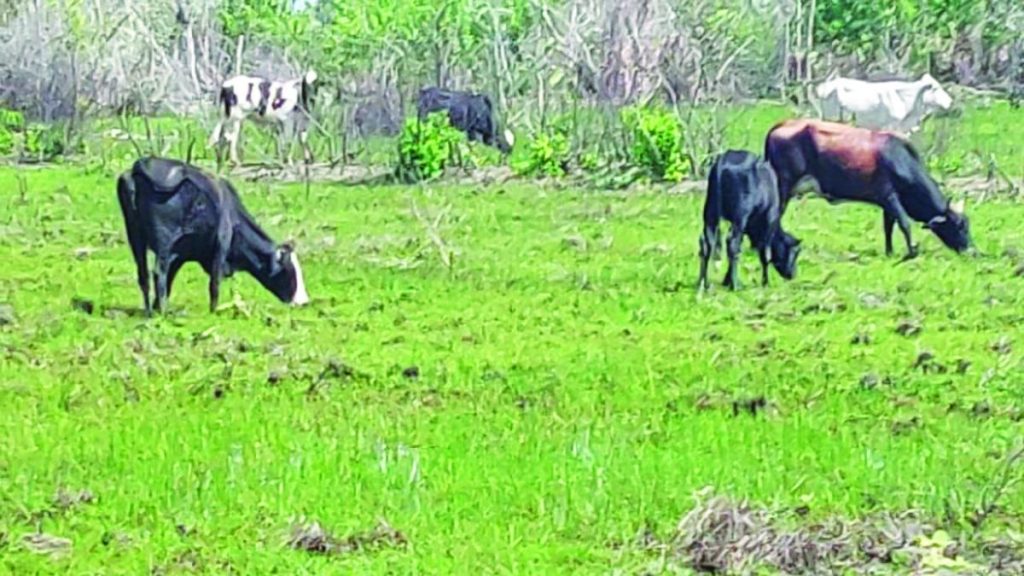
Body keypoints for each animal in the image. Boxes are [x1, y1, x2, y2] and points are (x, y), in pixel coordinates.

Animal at [116, 156, 310, 315]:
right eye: (289, 270)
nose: (303, 302)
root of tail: (140, 165)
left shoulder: (179, 254)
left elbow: (171, 278)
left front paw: (157, 305)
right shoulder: (221, 243)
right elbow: (214, 282)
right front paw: (214, 311)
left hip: (134, 236)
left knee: (144, 274)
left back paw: (149, 310)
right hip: (164, 239)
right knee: (158, 272)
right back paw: (163, 312)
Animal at [699, 150, 802, 291]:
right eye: (795, 252)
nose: (793, 274)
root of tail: (723, 163)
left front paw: (726, 280)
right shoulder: (769, 219)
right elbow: (765, 254)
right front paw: (765, 283)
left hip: (710, 213)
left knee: (707, 244)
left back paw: (704, 283)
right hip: (739, 215)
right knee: (732, 243)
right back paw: (735, 285)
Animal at [765, 119, 971, 259]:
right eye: (959, 226)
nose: (972, 251)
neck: (900, 159)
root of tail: (781, 124)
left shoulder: (886, 203)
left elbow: (888, 227)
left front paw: (890, 252)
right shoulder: (889, 196)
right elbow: (904, 223)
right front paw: (912, 252)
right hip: (784, 186)